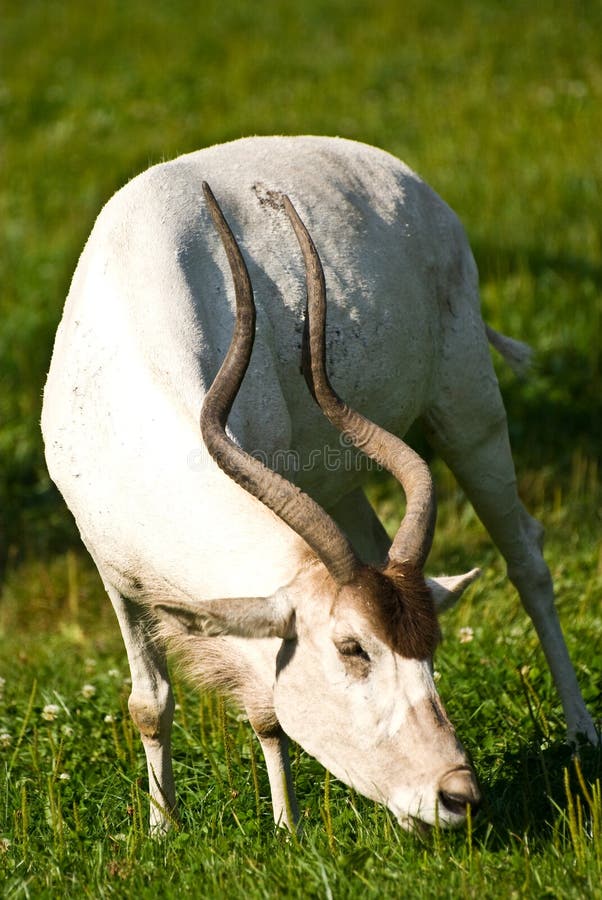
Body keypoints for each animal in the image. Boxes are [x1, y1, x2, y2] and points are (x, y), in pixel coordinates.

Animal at [41, 136, 597, 835]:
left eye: (429, 649)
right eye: (352, 648)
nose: (458, 795)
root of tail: (404, 179)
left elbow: (267, 712)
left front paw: (287, 829)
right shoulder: (115, 575)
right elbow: (150, 702)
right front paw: (161, 830)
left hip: (468, 408)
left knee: (526, 558)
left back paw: (581, 731)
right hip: (339, 484)